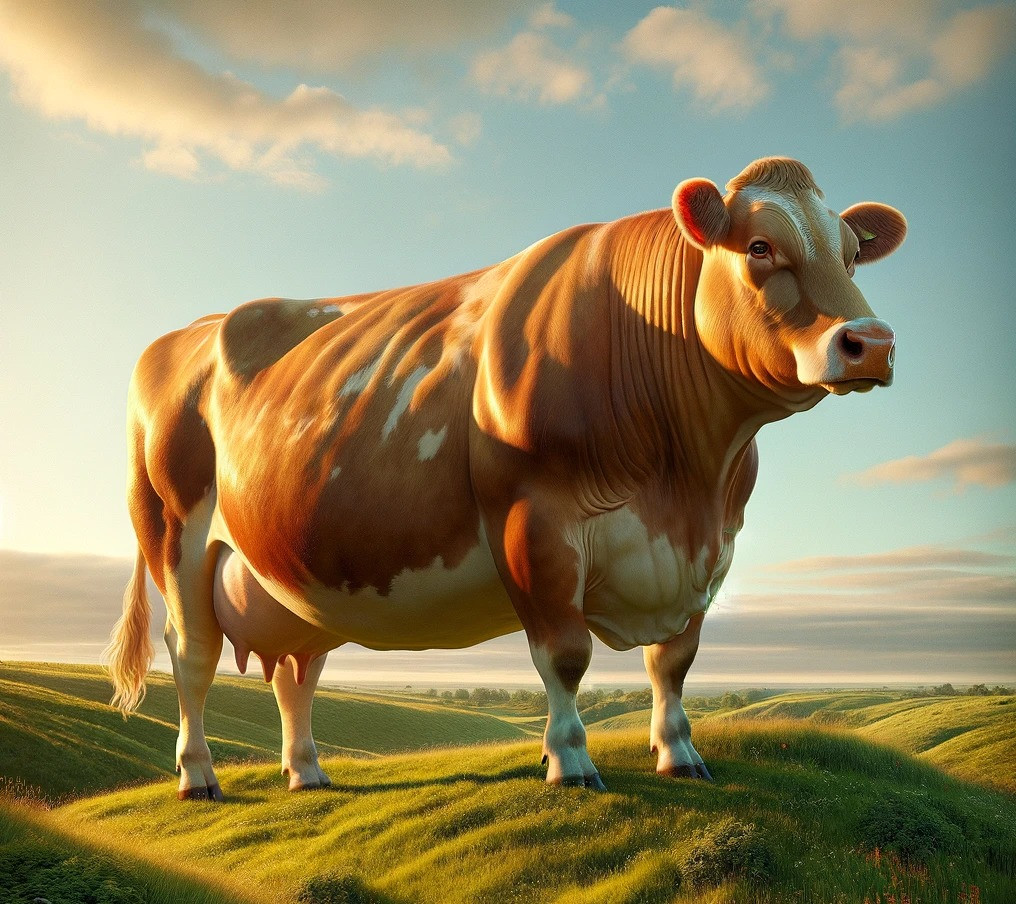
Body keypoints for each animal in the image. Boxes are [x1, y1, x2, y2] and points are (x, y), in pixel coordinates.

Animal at [107, 157, 906, 799]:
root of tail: (181, 335)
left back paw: (307, 772)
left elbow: (675, 662)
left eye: (852, 257)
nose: (871, 343)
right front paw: (571, 763)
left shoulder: (710, 548)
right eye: (761, 247)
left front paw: (681, 756)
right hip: (172, 530)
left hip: (288, 568)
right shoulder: (536, 520)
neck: (685, 484)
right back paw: (198, 777)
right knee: (193, 658)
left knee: (295, 672)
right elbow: (566, 654)